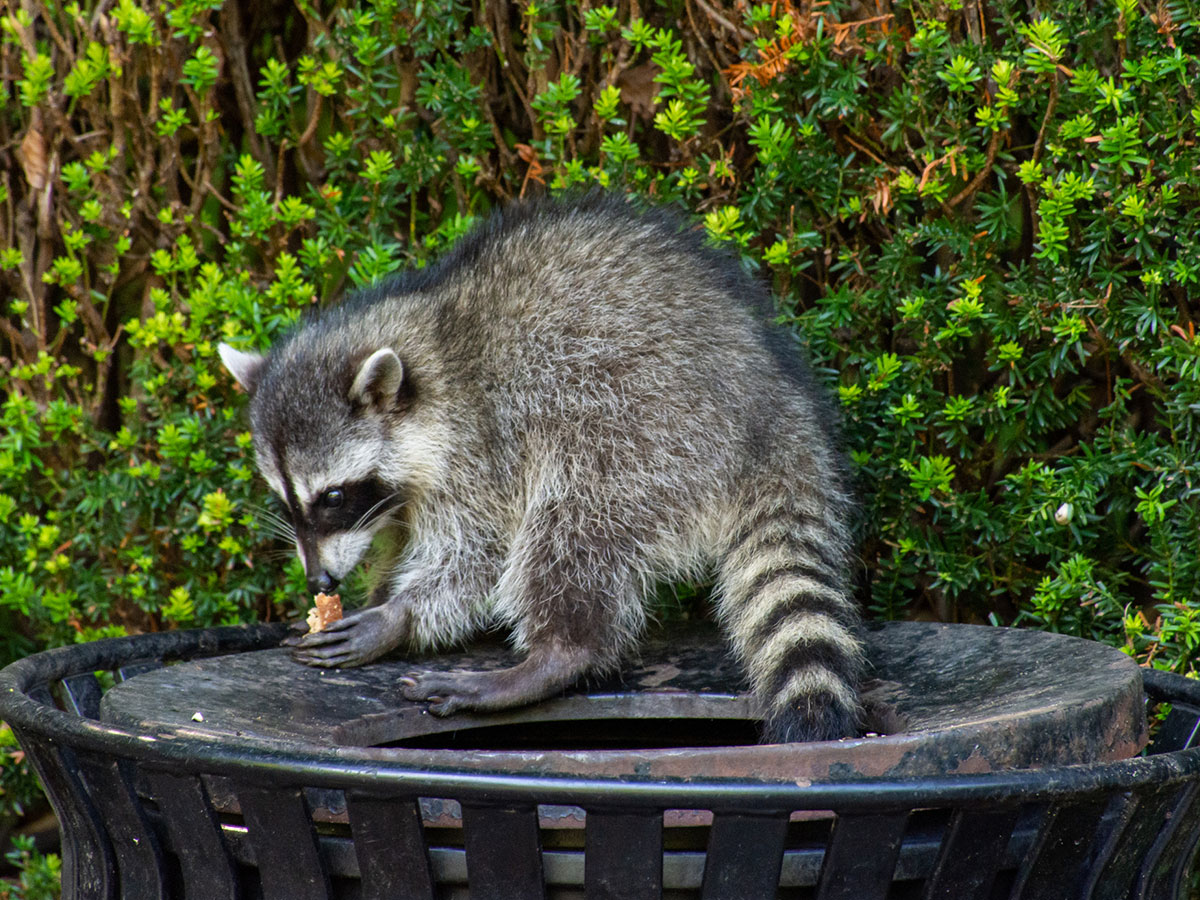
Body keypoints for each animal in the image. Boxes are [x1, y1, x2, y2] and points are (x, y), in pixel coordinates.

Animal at [218, 193, 863, 742]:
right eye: (286, 501)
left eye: (332, 497)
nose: (319, 583)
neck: (429, 343)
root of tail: (773, 412)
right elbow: (400, 542)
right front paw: (376, 593)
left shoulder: (482, 446)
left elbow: (477, 555)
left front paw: (397, 615)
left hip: (646, 428)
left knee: (572, 523)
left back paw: (554, 655)